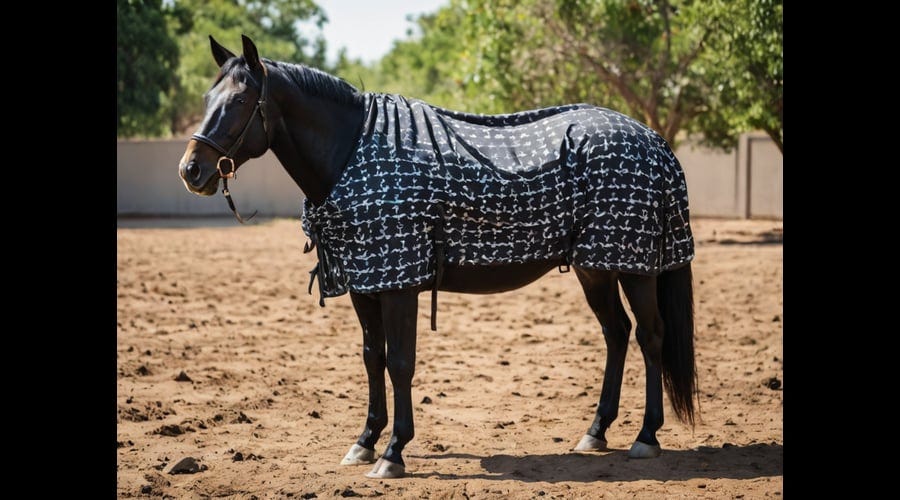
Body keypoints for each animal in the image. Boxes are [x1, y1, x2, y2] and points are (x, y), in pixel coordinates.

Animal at [178, 35, 698, 479]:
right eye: (207, 99)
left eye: (239, 102)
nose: (191, 170)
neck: (351, 154)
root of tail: (652, 139)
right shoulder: (365, 283)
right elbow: (372, 357)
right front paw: (364, 441)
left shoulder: (400, 285)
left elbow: (400, 363)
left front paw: (393, 453)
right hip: (596, 267)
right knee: (617, 333)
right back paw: (595, 432)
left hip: (633, 267)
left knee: (650, 336)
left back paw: (646, 436)